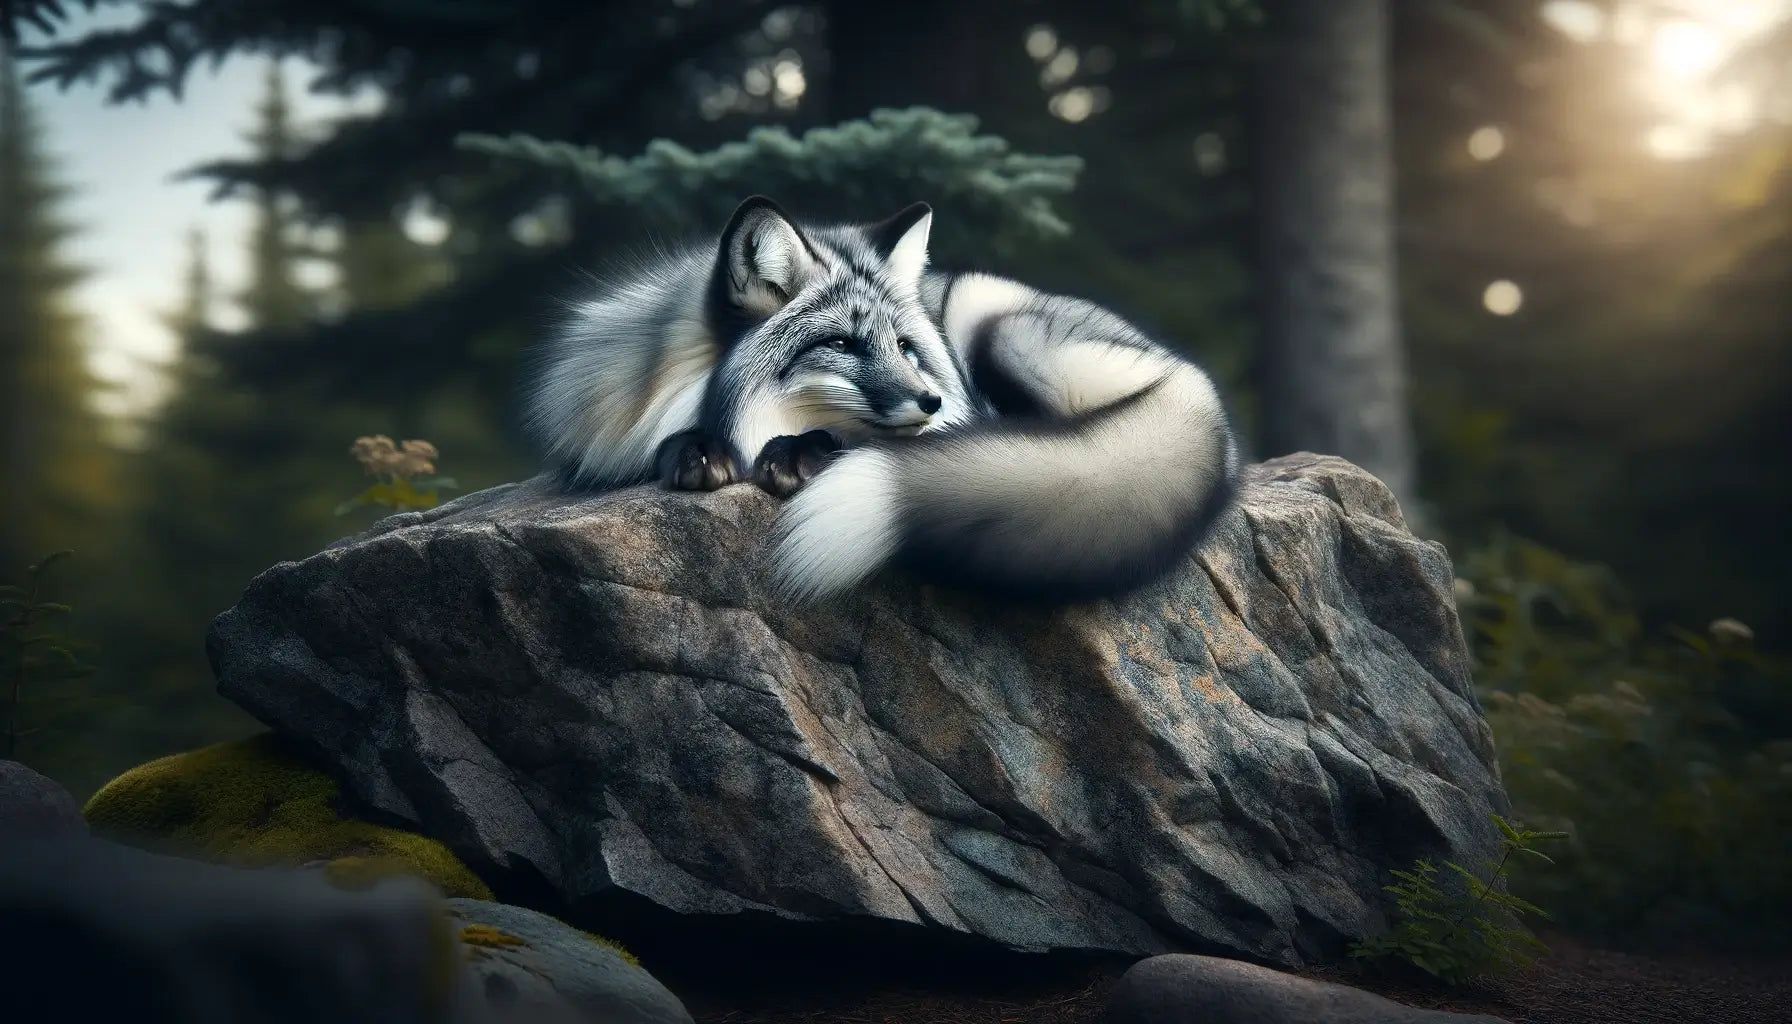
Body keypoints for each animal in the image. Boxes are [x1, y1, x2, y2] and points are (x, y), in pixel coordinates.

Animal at [529, 196, 1238, 601]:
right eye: (843, 342)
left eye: (904, 346)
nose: (932, 402)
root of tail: (1201, 388)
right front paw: (693, 453)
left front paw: (799, 455)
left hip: (991, 317)